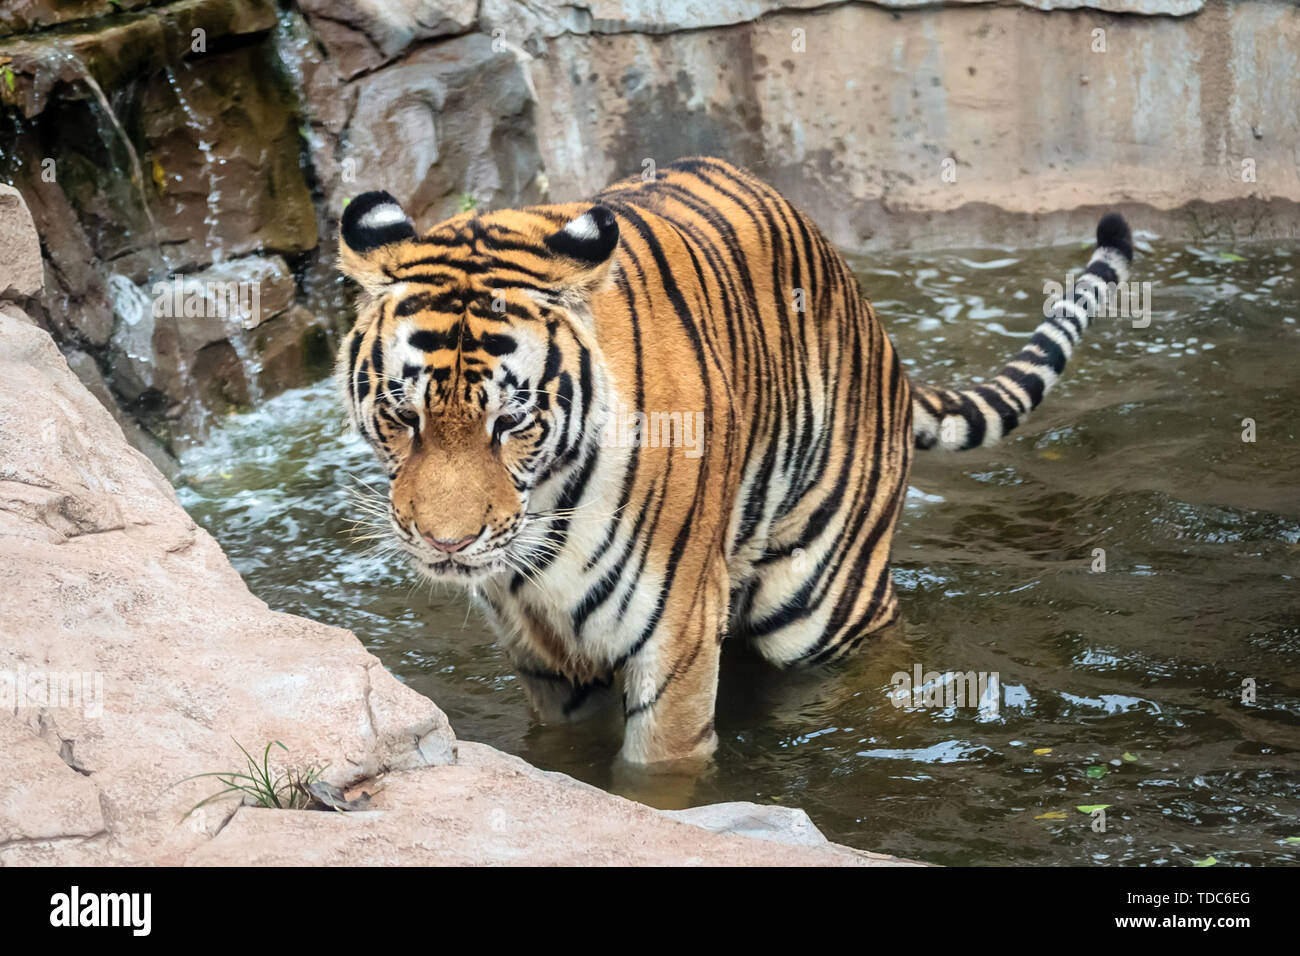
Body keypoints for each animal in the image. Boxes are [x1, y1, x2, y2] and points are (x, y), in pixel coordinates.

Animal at [336, 157, 1134, 766]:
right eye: (404, 417)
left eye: (511, 423)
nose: (446, 543)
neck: (542, 535)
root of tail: (875, 324)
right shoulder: (544, 659)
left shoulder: (675, 632)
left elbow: (658, 774)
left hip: (822, 597)